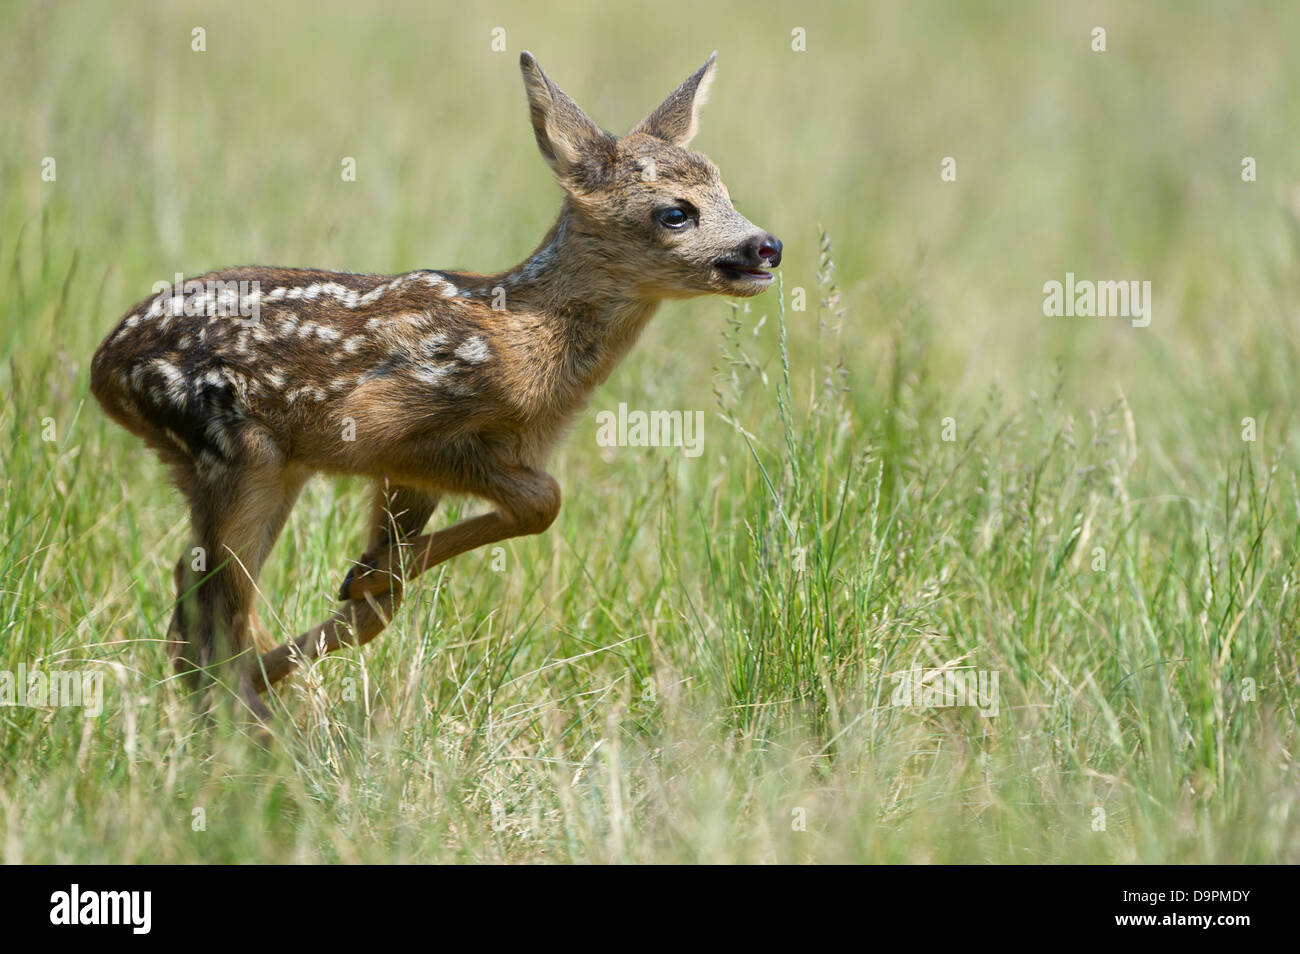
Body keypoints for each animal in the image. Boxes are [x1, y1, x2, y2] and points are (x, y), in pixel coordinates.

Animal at [90, 51, 782, 723]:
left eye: (725, 187)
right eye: (676, 213)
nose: (766, 246)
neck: (526, 337)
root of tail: (103, 367)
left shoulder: (410, 476)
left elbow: (382, 607)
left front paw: (365, 578)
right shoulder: (387, 426)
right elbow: (544, 501)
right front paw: (362, 582)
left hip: (268, 468)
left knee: (194, 595)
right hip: (239, 454)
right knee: (214, 610)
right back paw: (254, 721)